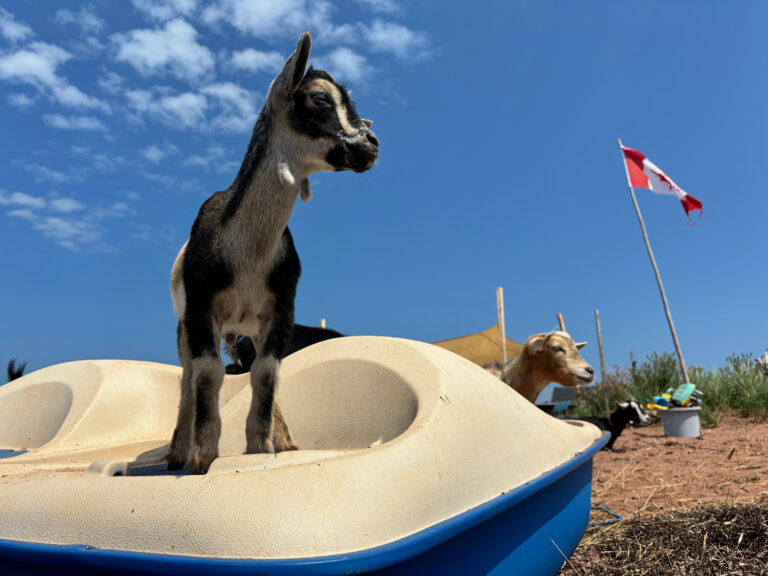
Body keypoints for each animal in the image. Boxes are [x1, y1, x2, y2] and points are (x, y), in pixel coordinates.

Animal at [168, 32, 379, 474]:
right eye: (319, 98)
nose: (372, 145)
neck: (246, 257)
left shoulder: (281, 310)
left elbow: (267, 374)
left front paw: (260, 449)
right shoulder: (199, 309)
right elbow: (207, 373)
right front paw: (202, 457)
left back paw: (284, 440)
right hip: (186, 325)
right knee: (187, 374)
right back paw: (177, 450)